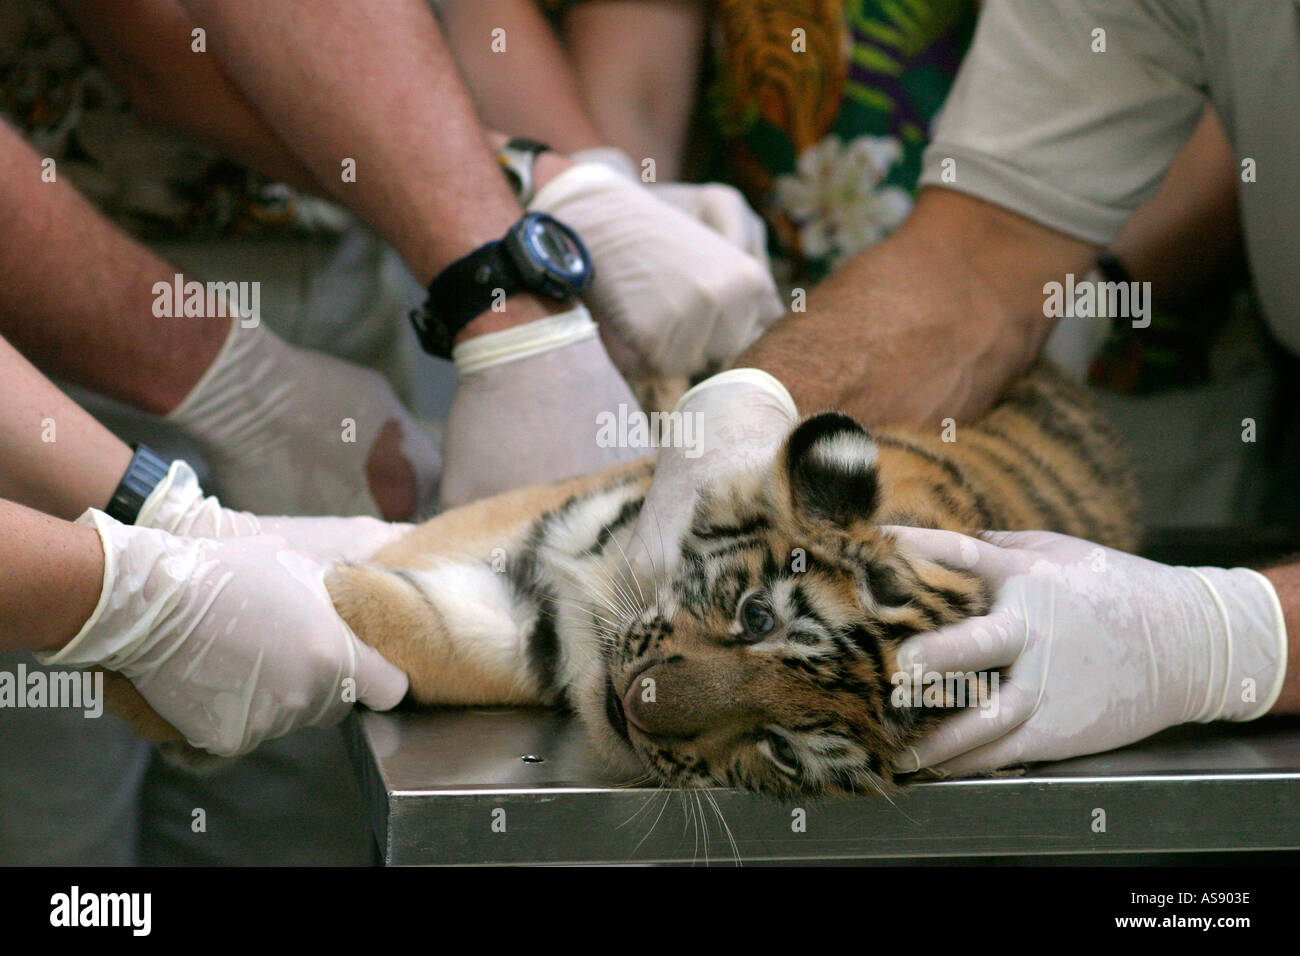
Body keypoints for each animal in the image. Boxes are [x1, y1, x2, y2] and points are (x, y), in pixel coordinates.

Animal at [107, 362, 1138, 797]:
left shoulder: (528, 642)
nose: (642, 711)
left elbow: (396, 617)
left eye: (783, 748)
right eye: (754, 614)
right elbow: (398, 563)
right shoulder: (537, 524)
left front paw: (186, 670)